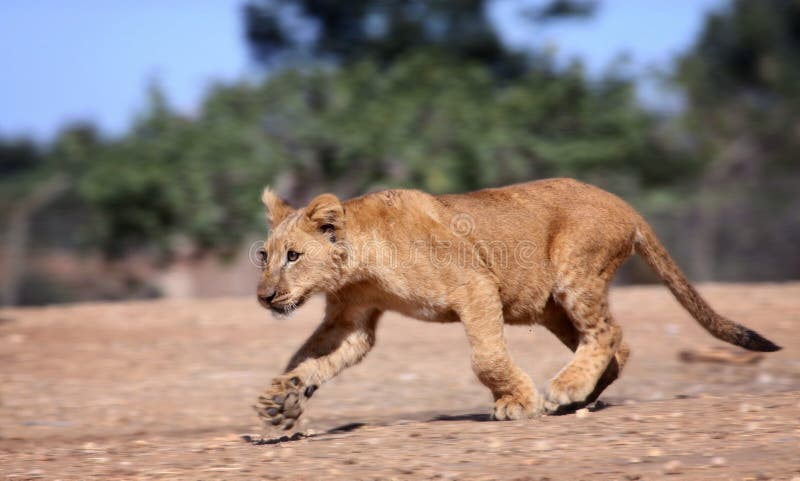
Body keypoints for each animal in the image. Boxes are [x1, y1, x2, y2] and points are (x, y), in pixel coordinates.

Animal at [253, 178, 780, 429]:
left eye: (293, 256)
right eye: (264, 255)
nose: (264, 296)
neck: (361, 261)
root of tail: (626, 206)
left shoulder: (475, 286)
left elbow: (486, 357)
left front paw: (517, 402)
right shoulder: (352, 319)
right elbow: (310, 359)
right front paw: (280, 401)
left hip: (573, 274)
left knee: (607, 332)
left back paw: (566, 389)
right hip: (546, 306)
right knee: (617, 345)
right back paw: (578, 397)